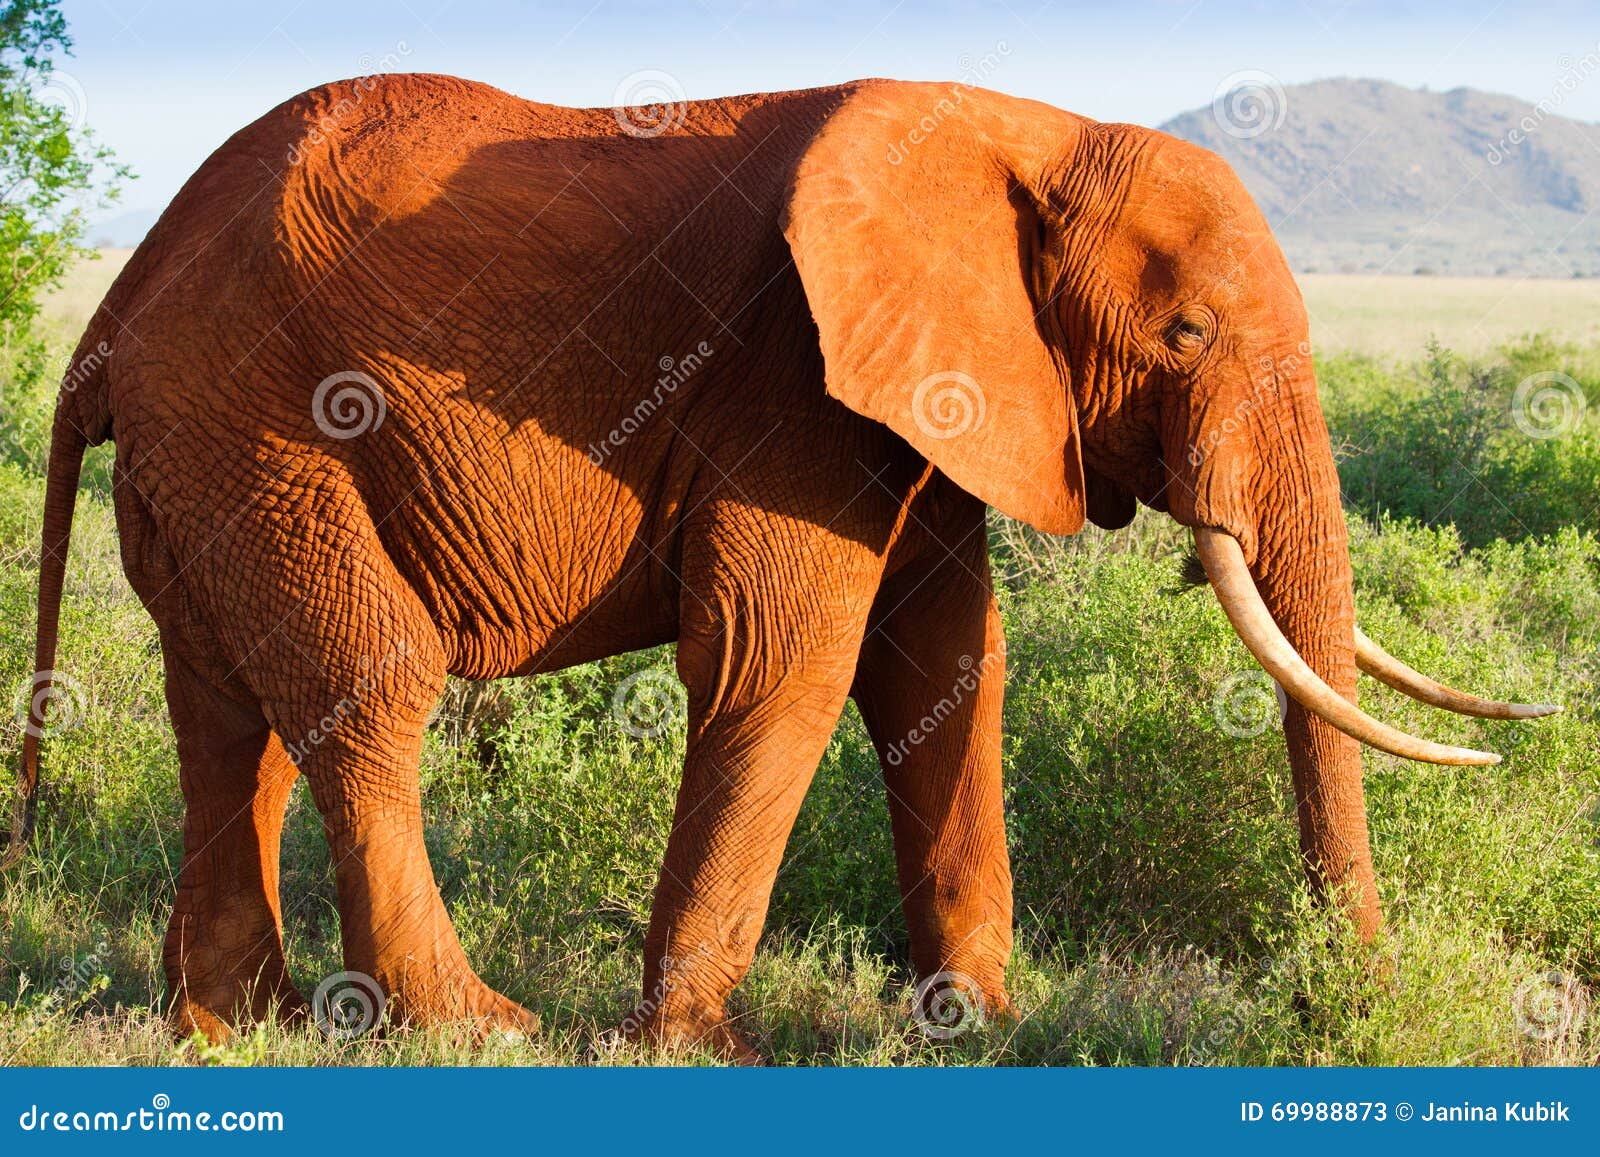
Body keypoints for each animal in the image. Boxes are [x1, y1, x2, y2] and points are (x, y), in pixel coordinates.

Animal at [5, 73, 1557, 1061]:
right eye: (1183, 335)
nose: (1341, 1011)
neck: (1026, 128)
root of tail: (111, 316)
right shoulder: (787, 379)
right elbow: (785, 660)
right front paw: (696, 1047)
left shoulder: (926, 389)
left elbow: (949, 665)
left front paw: (978, 1032)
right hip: (262, 423)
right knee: (367, 691)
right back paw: (477, 1026)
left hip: (207, 456)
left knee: (231, 718)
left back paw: (235, 1027)